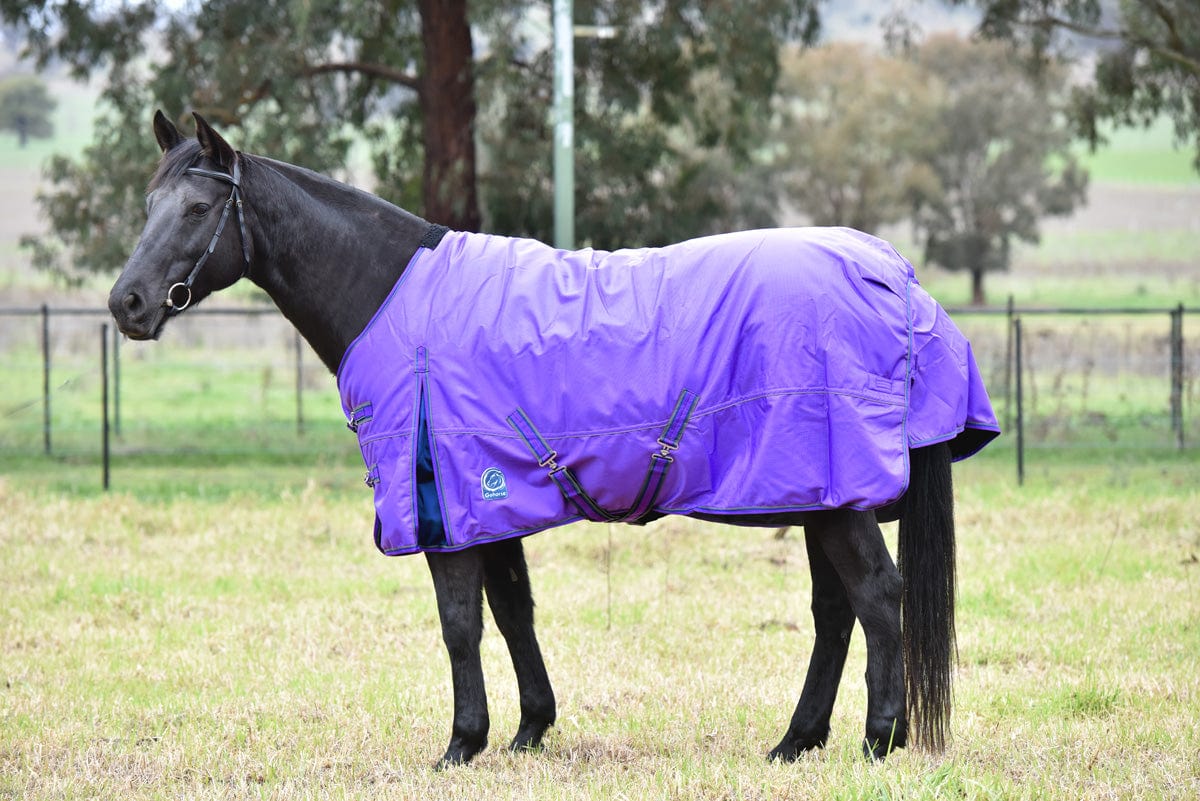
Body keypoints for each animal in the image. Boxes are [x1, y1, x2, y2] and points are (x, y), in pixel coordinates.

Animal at [109, 111, 999, 768]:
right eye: (146, 207)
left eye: (197, 209)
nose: (128, 303)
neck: (393, 294)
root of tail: (893, 275)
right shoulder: (485, 501)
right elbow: (512, 612)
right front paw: (529, 729)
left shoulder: (445, 504)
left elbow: (460, 621)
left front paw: (460, 744)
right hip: (820, 493)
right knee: (835, 611)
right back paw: (795, 742)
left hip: (838, 498)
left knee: (876, 599)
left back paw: (878, 742)